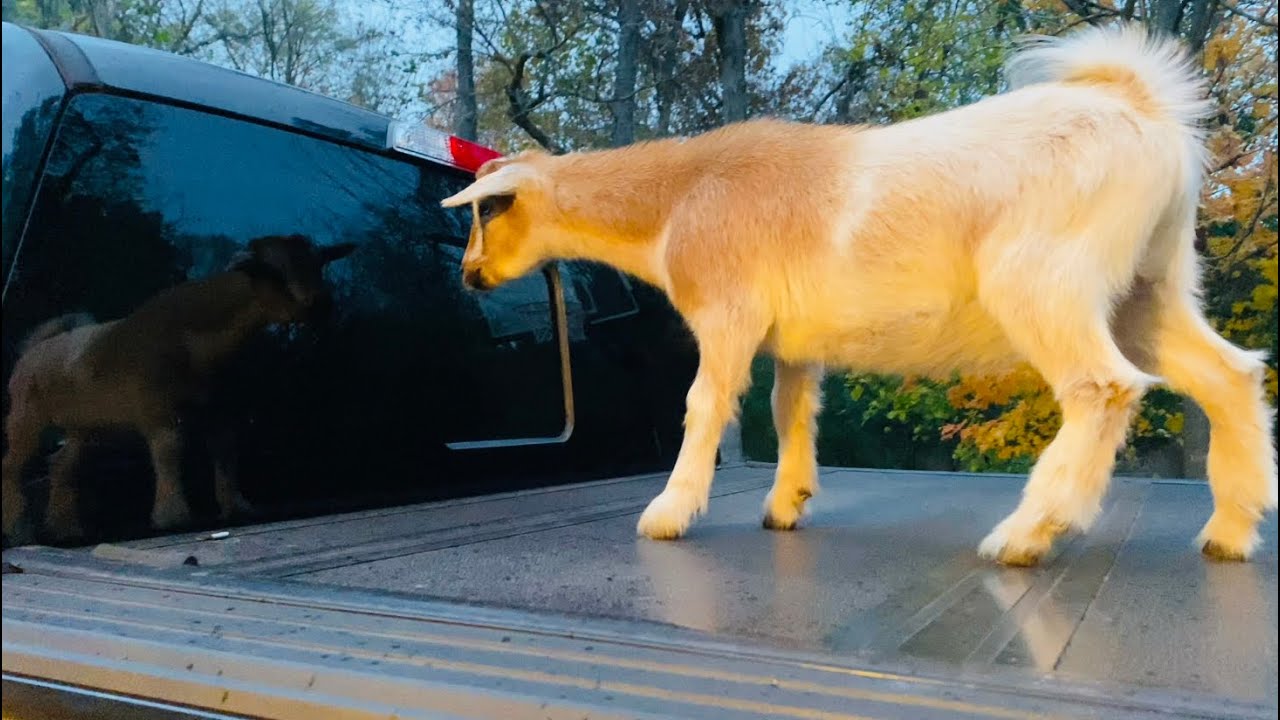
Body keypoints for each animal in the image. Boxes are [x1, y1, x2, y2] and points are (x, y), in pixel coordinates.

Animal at [2, 234, 356, 545]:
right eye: (272, 271)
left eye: (318, 263)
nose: (321, 304)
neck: (200, 343)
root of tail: (38, 346)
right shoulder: (160, 414)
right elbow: (169, 453)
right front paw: (172, 516)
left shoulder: (223, 412)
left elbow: (226, 454)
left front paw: (237, 507)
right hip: (26, 418)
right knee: (13, 466)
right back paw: (18, 531)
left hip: (87, 427)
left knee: (63, 466)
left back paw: (66, 529)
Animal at [440, 23, 1277, 566]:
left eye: (488, 211)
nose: (470, 277)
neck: (678, 197)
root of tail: (1140, 107)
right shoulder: (793, 341)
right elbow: (792, 410)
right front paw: (786, 505)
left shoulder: (727, 315)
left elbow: (705, 404)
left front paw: (670, 515)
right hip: (1150, 288)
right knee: (1230, 374)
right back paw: (1230, 534)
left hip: (1047, 281)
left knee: (1103, 387)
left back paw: (1027, 535)